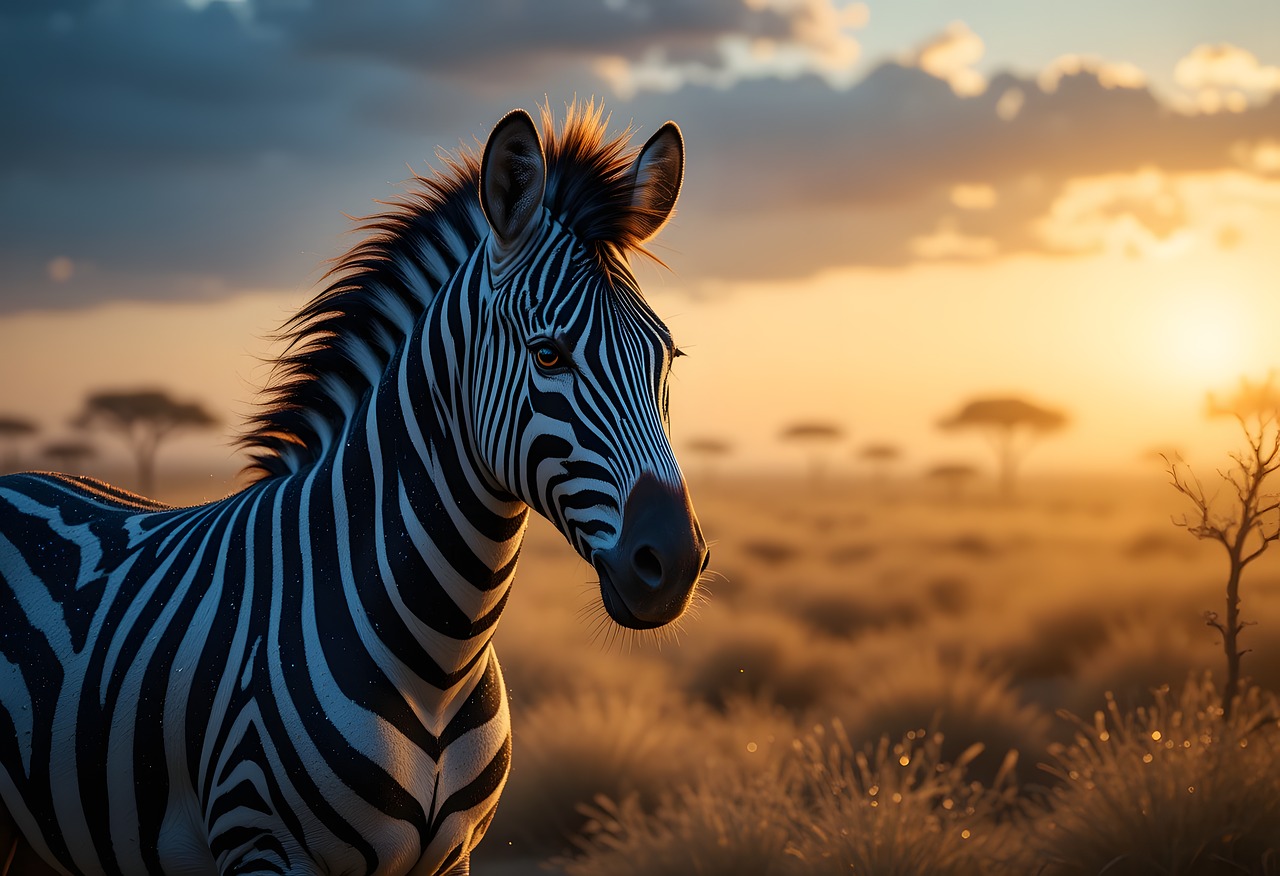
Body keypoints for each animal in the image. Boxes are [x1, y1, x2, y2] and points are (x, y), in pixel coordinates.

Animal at [0, 101, 708, 876]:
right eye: (548, 354)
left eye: (667, 356)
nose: (673, 564)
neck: (440, 662)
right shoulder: (263, 847)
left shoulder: (451, 858)